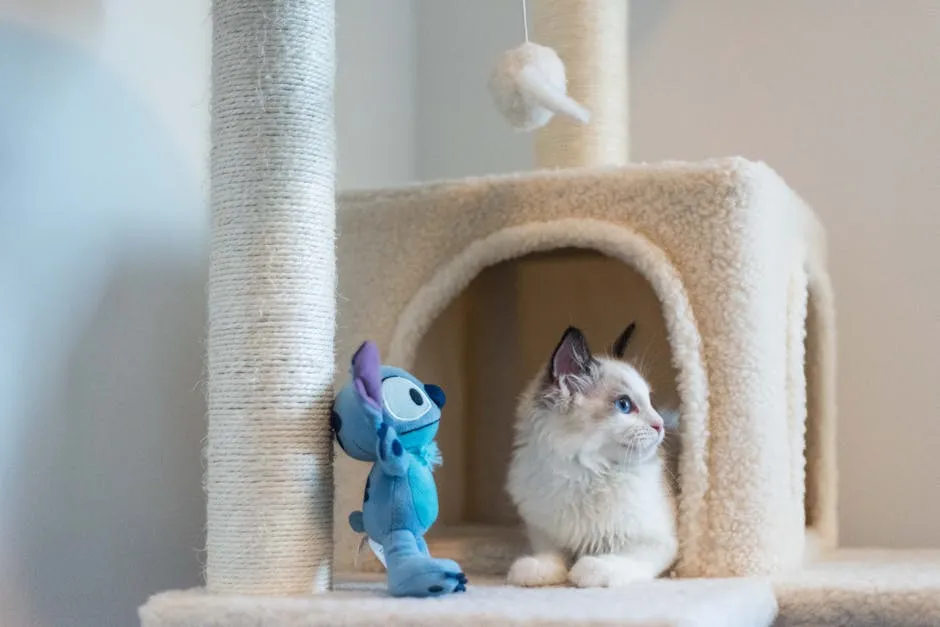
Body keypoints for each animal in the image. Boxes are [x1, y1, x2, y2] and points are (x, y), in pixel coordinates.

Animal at [506, 326, 676, 588]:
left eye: (651, 402)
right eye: (624, 405)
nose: (660, 425)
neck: (587, 472)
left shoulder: (658, 540)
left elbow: (621, 558)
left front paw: (589, 570)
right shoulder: (544, 531)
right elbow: (552, 554)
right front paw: (535, 570)